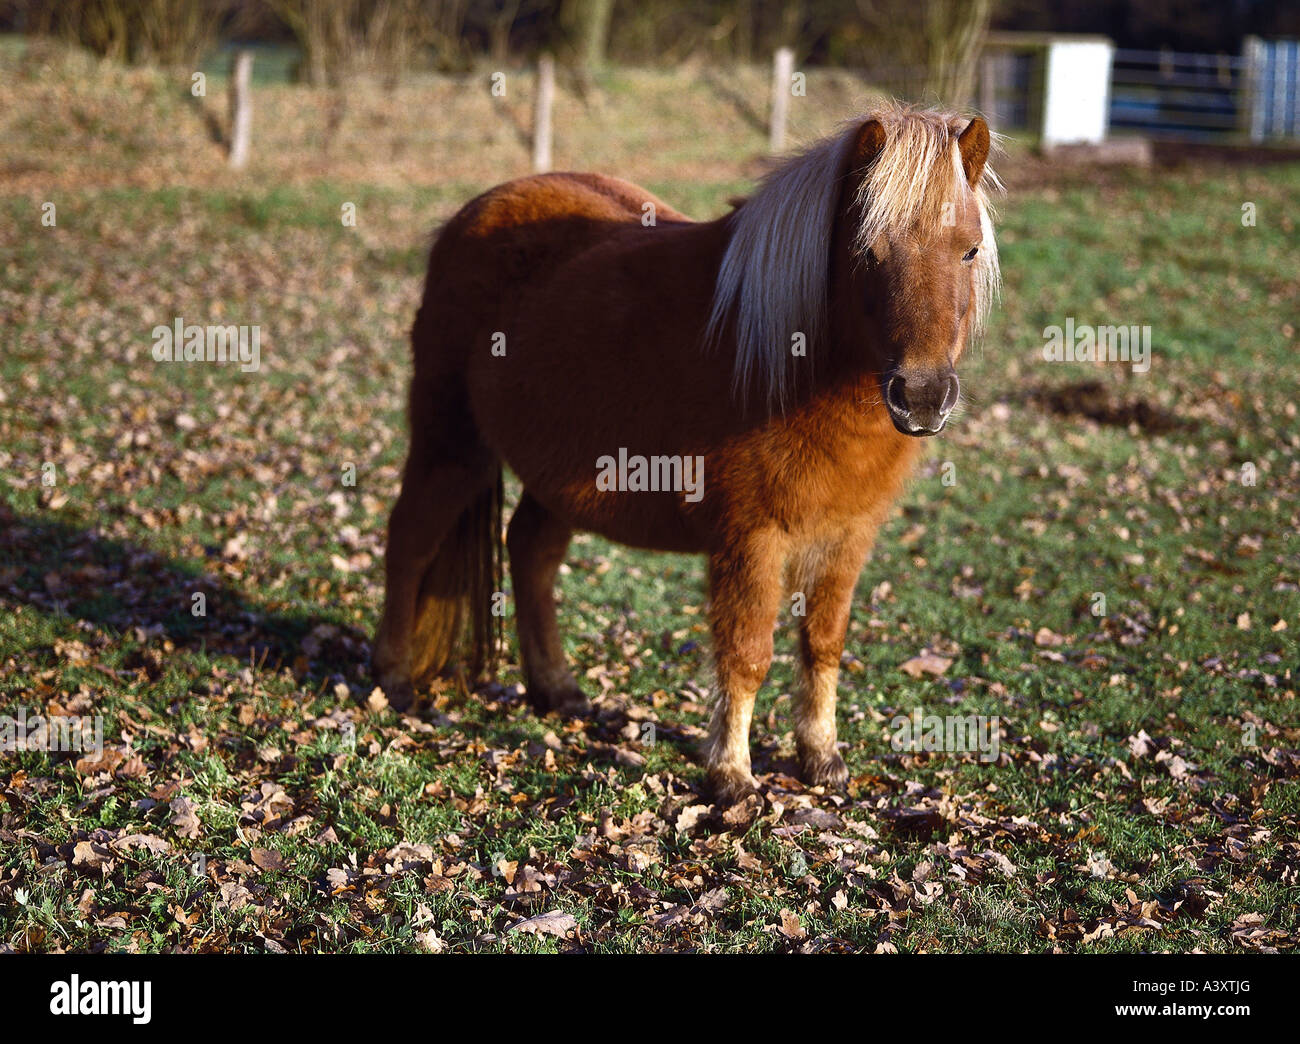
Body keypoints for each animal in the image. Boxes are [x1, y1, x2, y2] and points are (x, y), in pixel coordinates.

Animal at [372, 103, 1001, 806]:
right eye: (868, 252)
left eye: (969, 249)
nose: (922, 397)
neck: (790, 359)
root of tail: (473, 212)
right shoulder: (751, 539)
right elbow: (747, 655)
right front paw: (733, 778)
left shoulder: (847, 536)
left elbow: (824, 644)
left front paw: (821, 759)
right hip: (452, 445)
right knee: (412, 540)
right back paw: (395, 680)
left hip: (554, 473)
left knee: (531, 552)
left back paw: (558, 690)